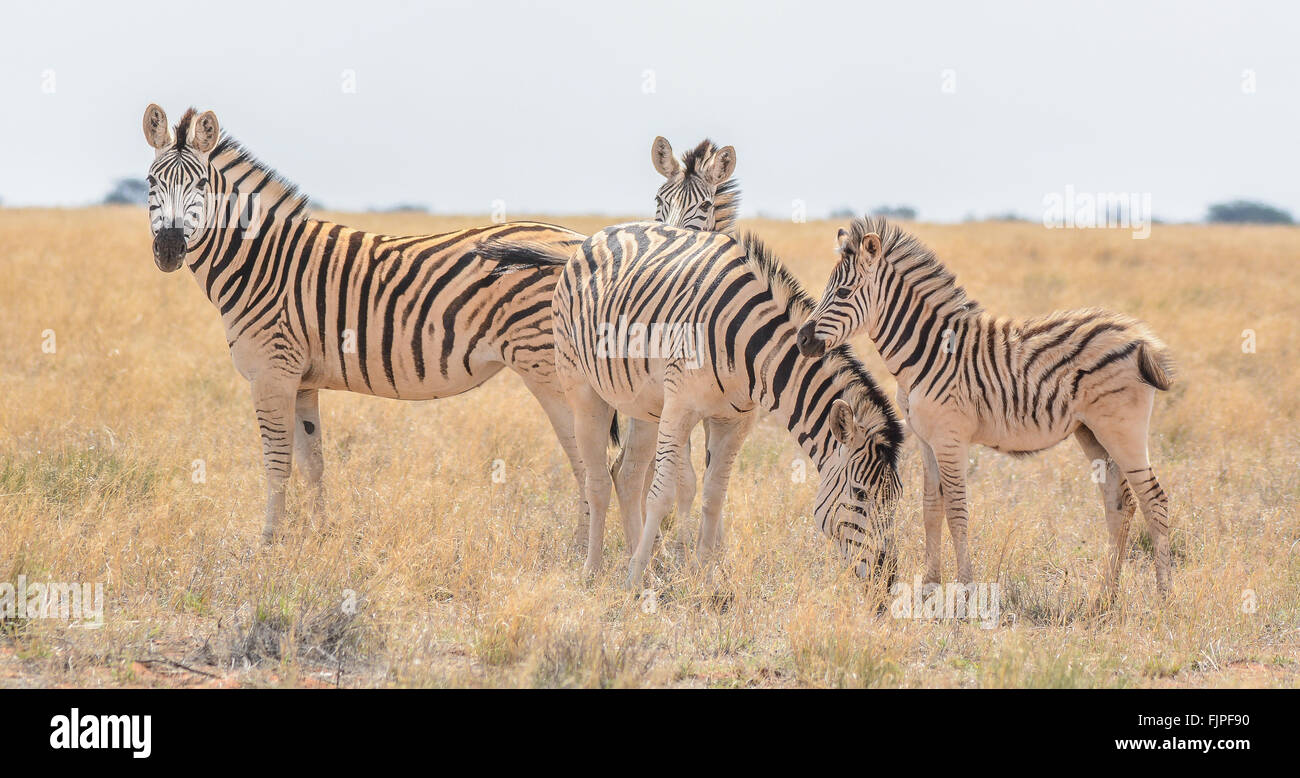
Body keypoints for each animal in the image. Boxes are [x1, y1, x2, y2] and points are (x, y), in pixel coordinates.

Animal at [140, 103, 593, 543]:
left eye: (201, 185)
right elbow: (312, 463)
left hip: (548, 369)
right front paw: (321, 536)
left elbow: (277, 463)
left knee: (588, 460)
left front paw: (269, 540)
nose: (169, 248)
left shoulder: (272, 374)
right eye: (150, 182)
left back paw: (581, 549)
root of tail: (578, 240)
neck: (261, 262)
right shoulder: (301, 381)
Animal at [550, 221, 904, 588]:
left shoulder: (736, 420)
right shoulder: (679, 408)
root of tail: (600, 233)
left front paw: (703, 574)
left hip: (644, 404)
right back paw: (594, 571)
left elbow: (714, 495)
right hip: (582, 388)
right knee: (598, 482)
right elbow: (662, 495)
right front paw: (634, 578)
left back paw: (649, 570)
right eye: (861, 494)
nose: (887, 578)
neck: (749, 343)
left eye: (896, 498)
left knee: (627, 475)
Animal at [796, 216, 1175, 596]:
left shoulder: (950, 438)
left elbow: (956, 511)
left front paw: (965, 589)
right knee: (1120, 503)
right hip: (1092, 433)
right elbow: (930, 508)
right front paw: (930, 587)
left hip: (1122, 430)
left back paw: (1163, 596)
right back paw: (1105, 599)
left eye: (843, 293)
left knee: (1154, 499)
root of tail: (1138, 337)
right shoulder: (925, 439)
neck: (928, 353)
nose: (802, 339)